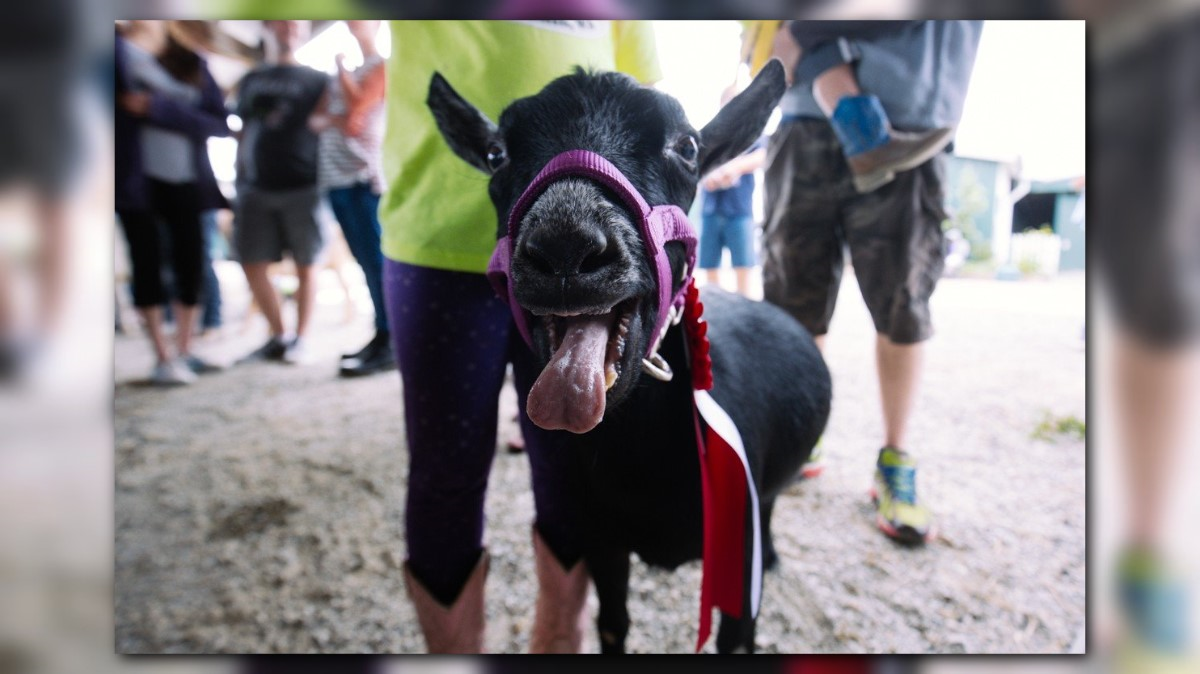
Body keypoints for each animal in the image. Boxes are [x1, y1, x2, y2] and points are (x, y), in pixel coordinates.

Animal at [428, 60, 831, 653]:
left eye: (687, 146)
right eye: (497, 153)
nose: (566, 245)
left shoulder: (737, 555)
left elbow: (738, 637)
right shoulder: (602, 538)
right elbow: (612, 623)